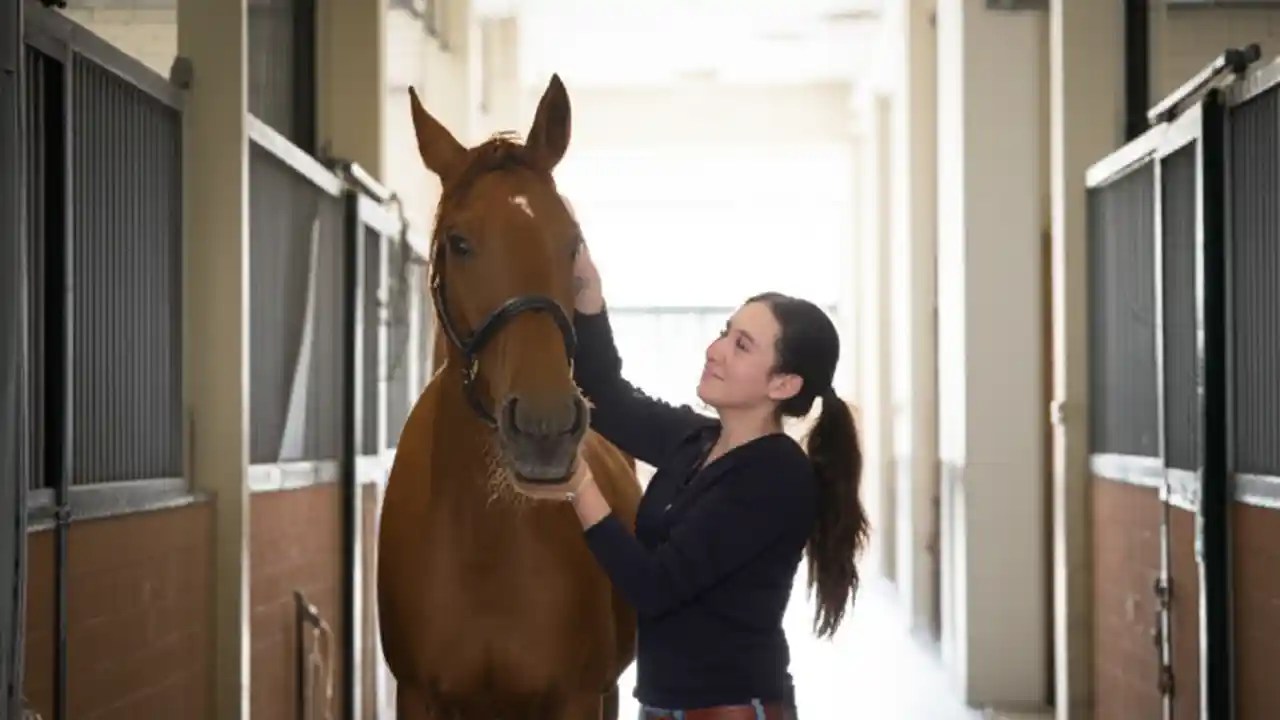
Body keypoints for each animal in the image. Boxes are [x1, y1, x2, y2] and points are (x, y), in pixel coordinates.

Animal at [376, 75, 643, 720]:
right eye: (459, 242)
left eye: (572, 241)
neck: (485, 543)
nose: (545, 427)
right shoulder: (416, 695)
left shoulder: (578, 696)